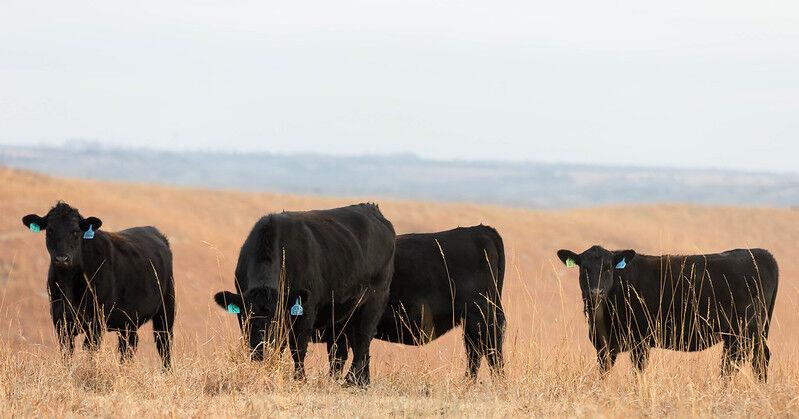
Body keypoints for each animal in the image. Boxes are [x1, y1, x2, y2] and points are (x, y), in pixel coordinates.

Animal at [22, 202, 175, 369]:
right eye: (49, 230)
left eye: (76, 231)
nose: (62, 259)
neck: (68, 283)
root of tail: (154, 231)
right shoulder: (61, 322)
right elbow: (67, 354)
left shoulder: (96, 322)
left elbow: (90, 351)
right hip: (129, 320)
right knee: (128, 346)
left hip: (166, 309)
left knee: (163, 344)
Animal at [213, 203, 395, 387]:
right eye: (248, 318)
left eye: (276, 319)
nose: (260, 352)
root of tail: (371, 208)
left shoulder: (305, 310)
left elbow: (297, 348)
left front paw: (299, 379)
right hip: (342, 316)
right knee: (340, 353)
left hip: (375, 300)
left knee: (362, 342)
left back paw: (351, 381)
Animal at [323, 225, 506, 379]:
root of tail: (481, 230)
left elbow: (341, 356)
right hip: (473, 321)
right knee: (477, 352)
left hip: (480, 318)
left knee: (489, 353)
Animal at [557, 246, 778, 382]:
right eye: (584, 268)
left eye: (609, 268)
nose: (595, 292)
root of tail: (760, 254)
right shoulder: (603, 345)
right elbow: (604, 374)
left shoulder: (640, 340)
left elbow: (637, 373)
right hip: (749, 333)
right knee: (752, 359)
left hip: (745, 330)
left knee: (740, 361)